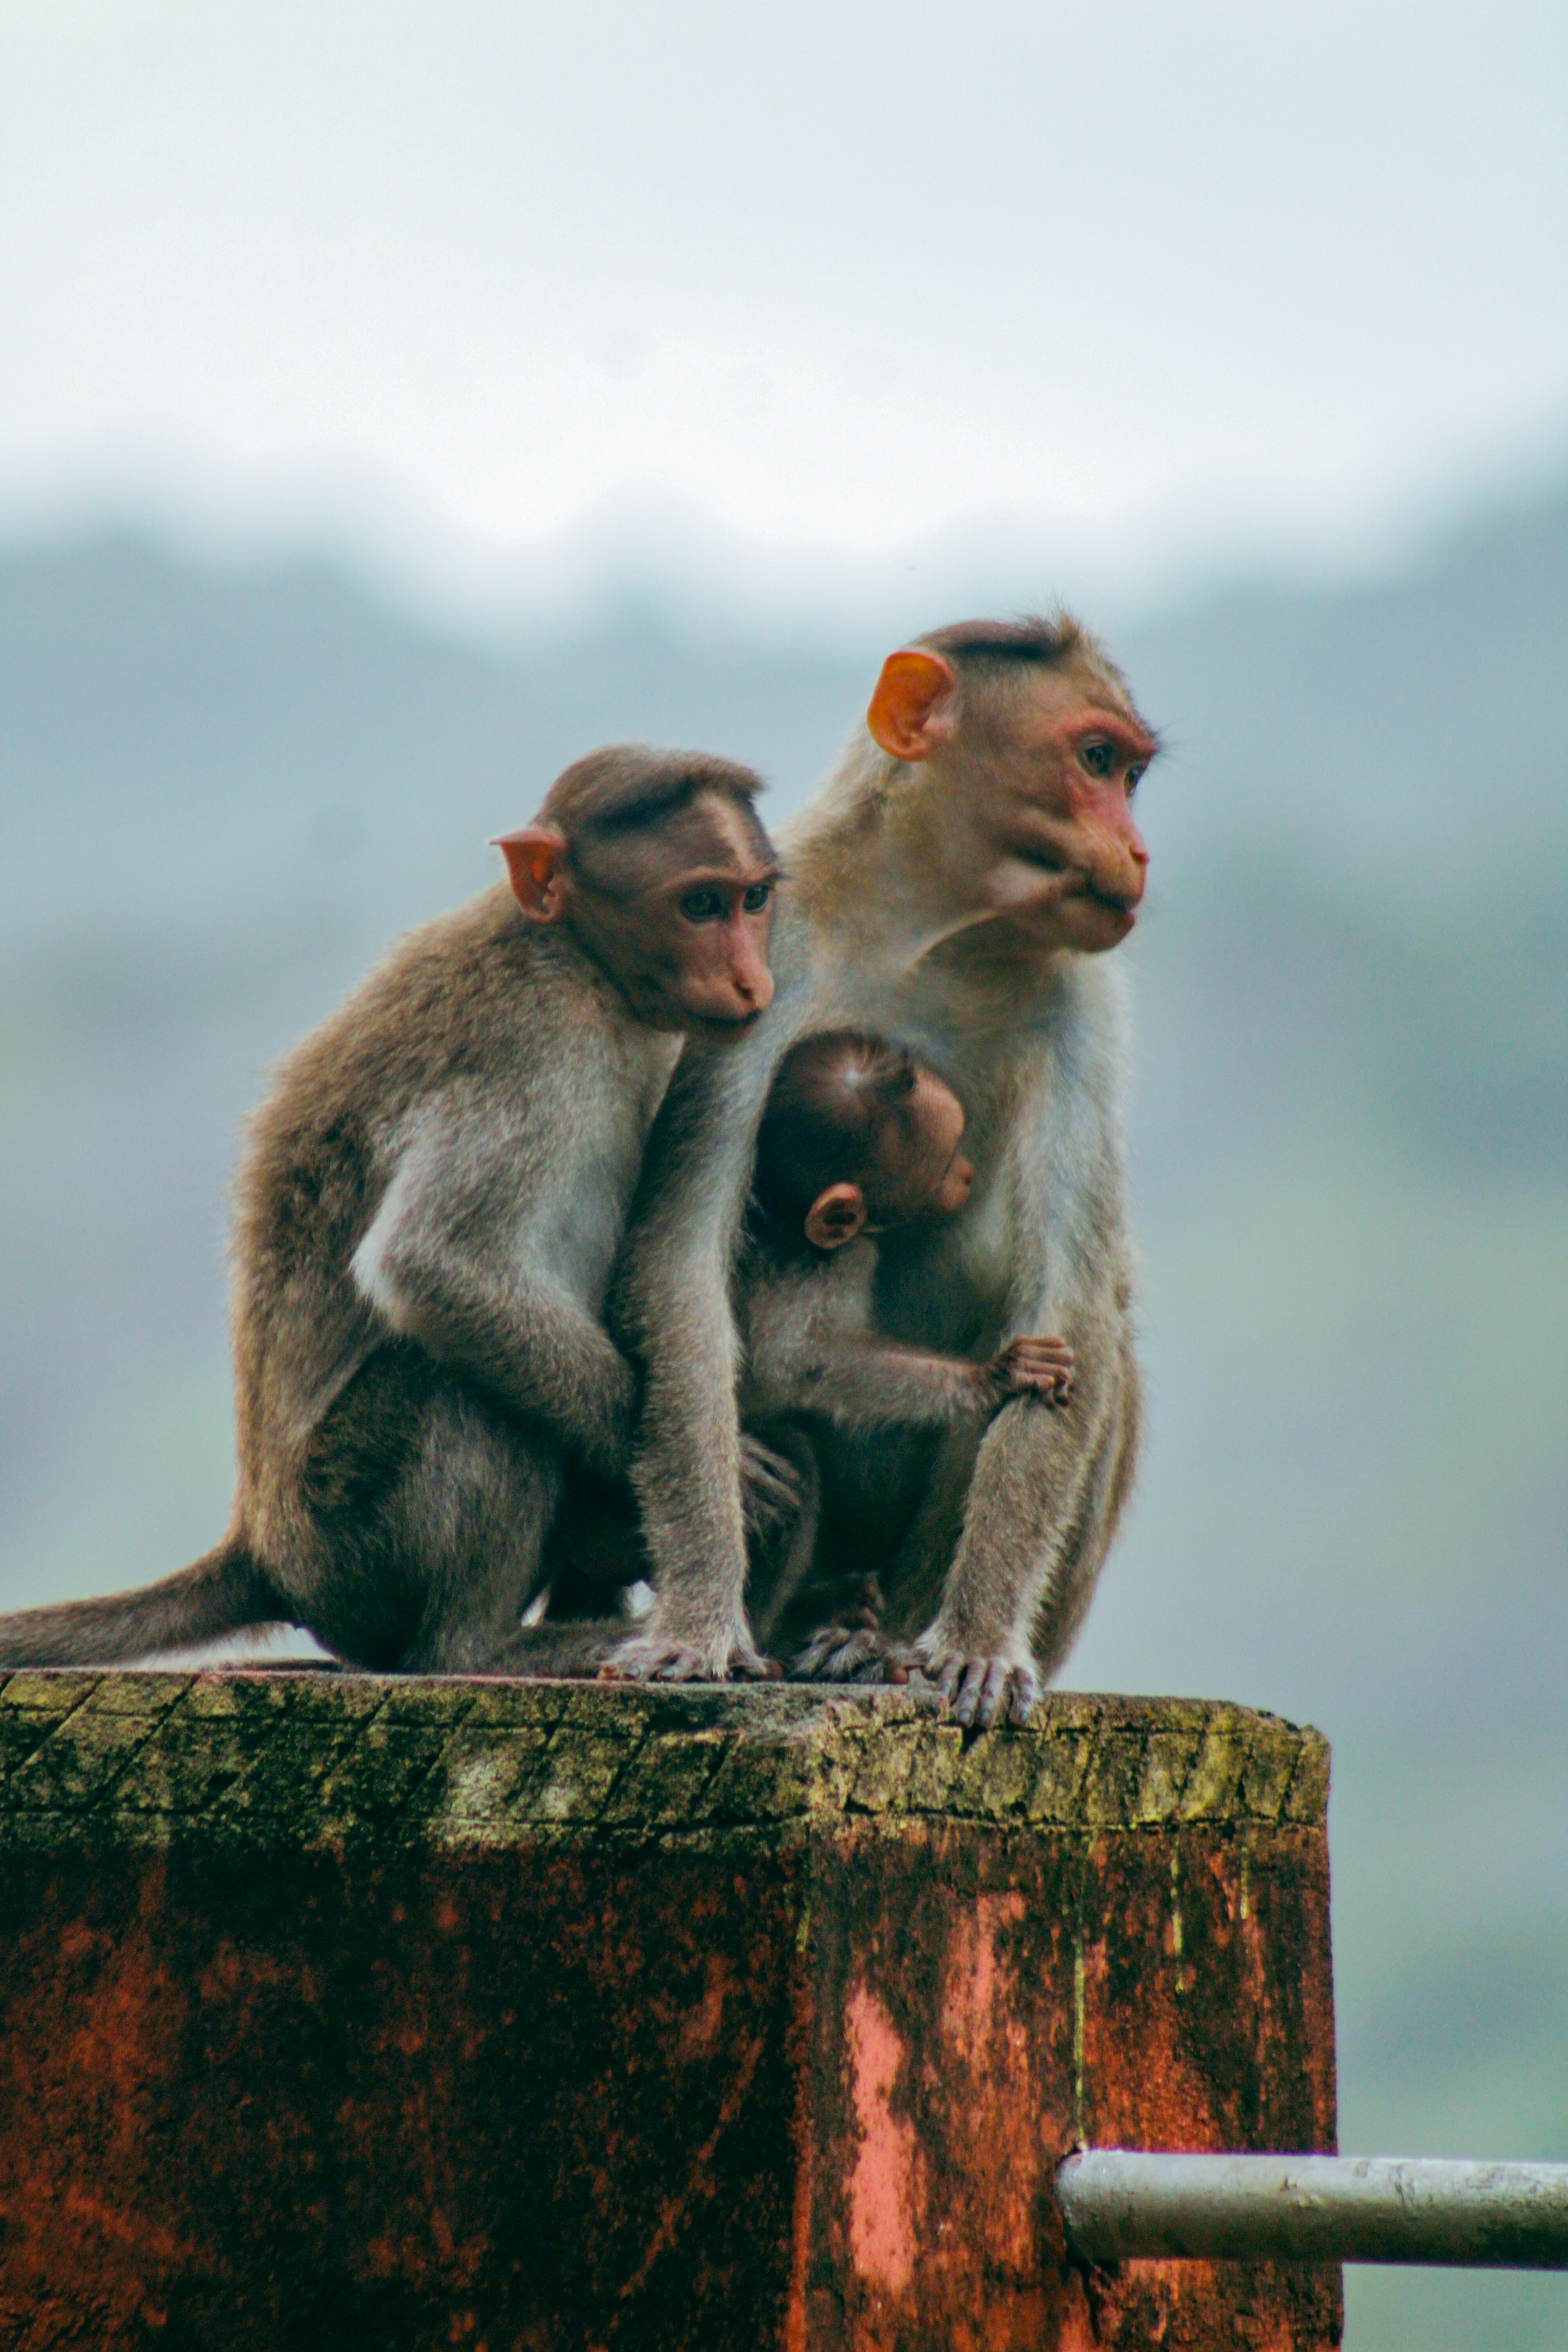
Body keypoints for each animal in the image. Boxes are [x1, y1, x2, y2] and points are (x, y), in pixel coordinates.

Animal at [0, 746, 786, 1676]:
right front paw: (735, 1475)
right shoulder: (526, 1042)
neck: (582, 962)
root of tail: (262, 1546)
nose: (755, 979)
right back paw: (482, 1648)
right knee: (454, 1381)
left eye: (753, 899)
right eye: (699, 905)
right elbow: (434, 1265)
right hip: (348, 1539)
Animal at [735, 1028, 1074, 1676]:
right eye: (943, 1164)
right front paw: (993, 1376)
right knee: (793, 1456)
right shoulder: (839, 1253)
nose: (967, 1173)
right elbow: (797, 1356)